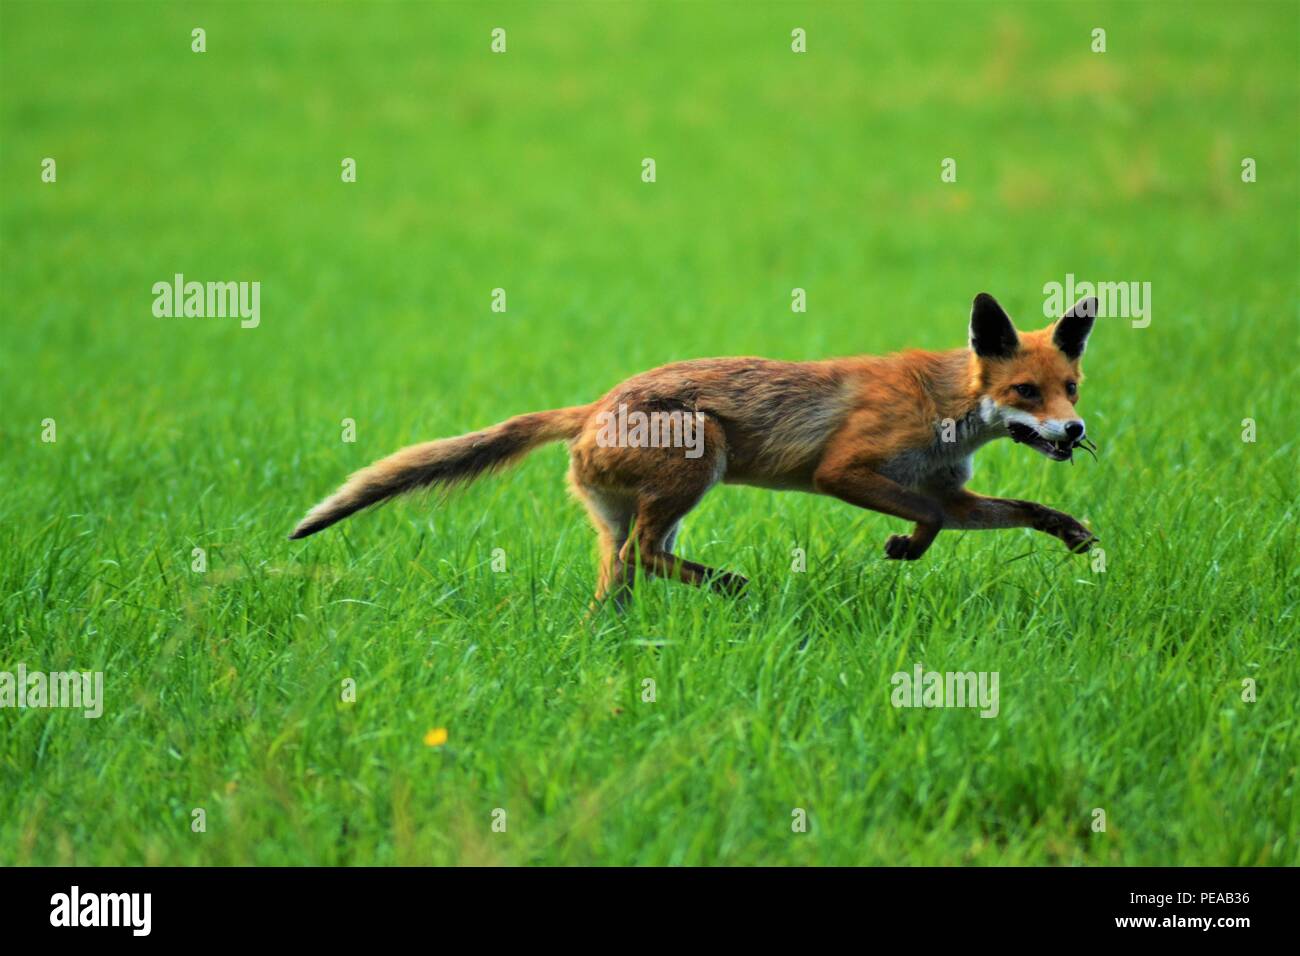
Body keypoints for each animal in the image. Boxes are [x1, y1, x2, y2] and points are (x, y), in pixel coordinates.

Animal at [289, 292, 1100, 607]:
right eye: (1026, 391)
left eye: (1071, 389)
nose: (1074, 432)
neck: (944, 406)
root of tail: (595, 404)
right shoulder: (843, 470)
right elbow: (922, 517)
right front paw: (906, 546)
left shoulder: (947, 487)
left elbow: (1019, 507)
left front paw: (1072, 533)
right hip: (698, 459)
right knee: (647, 555)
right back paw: (726, 585)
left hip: (627, 516)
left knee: (620, 575)